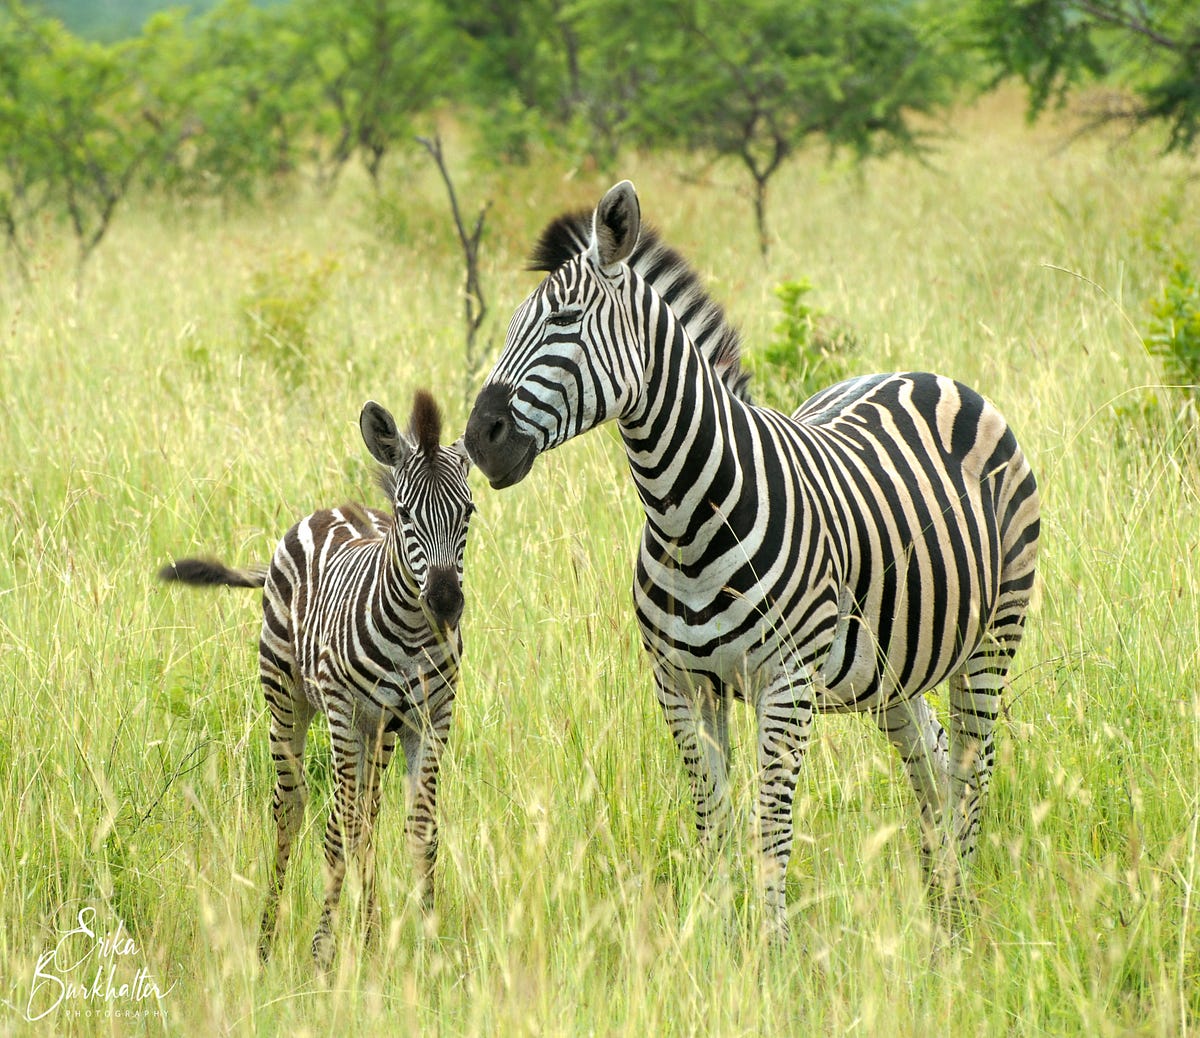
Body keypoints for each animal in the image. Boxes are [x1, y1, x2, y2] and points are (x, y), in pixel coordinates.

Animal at [160, 391, 475, 968]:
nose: (445, 603)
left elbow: (421, 831)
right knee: (295, 807)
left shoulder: (432, 715)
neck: (413, 631)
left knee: (365, 813)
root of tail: (329, 508)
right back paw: (267, 942)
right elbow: (344, 826)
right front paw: (336, 951)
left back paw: (355, 935)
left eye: (469, 512)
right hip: (289, 699)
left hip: (380, 729)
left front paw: (429, 948)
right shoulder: (346, 712)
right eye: (406, 514)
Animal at [464, 181, 1040, 936]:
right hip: (891, 670)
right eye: (507, 326)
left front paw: (772, 946)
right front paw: (711, 936)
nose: (479, 438)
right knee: (934, 766)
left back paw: (962, 913)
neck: (684, 517)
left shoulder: (785, 686)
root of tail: (926, 376)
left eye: (564, 320)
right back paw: (937, 899)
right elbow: (712, 818)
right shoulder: (680, 685)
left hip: (991, 640)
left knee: (974, 765)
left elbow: (771, 825)